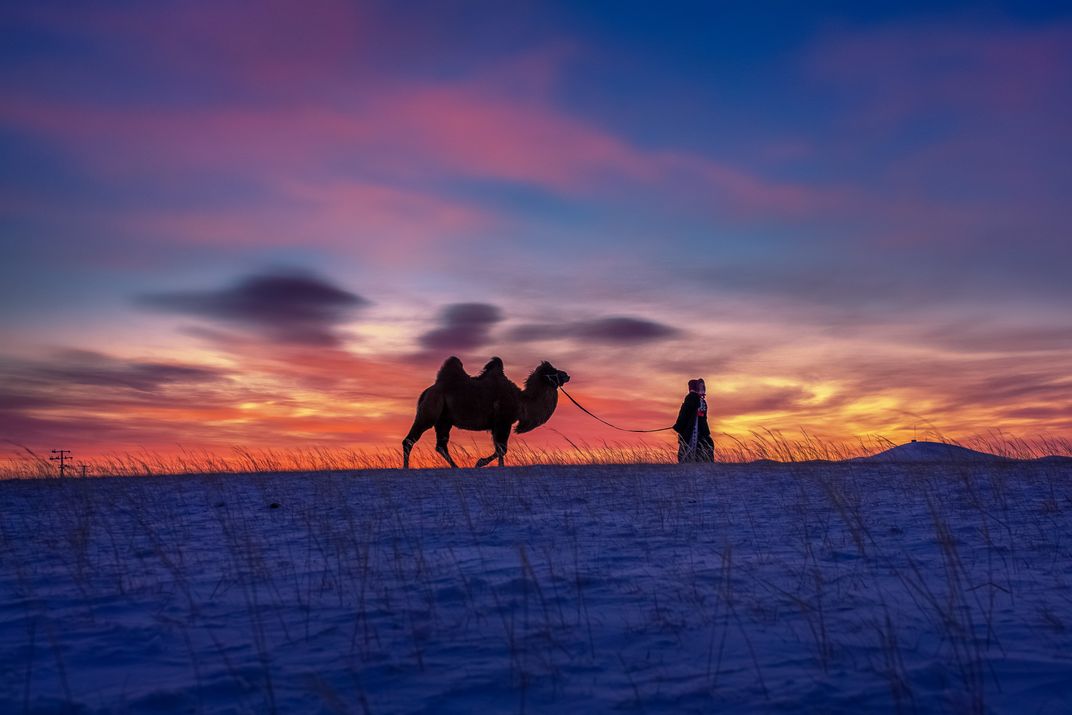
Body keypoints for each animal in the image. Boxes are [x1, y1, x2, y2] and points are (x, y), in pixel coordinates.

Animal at [402, 356, 570, 468]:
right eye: (552, 371)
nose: (566, 375)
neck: (521, 401)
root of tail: (426, 392)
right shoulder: (503, 422)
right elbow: (502, 449)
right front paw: (480, 462)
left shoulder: (497, 425)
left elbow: (500, 450)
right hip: (429, 413)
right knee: (409, 440)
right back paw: (406, 467)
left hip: (444, 420)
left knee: (441, 446)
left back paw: (456, 467)